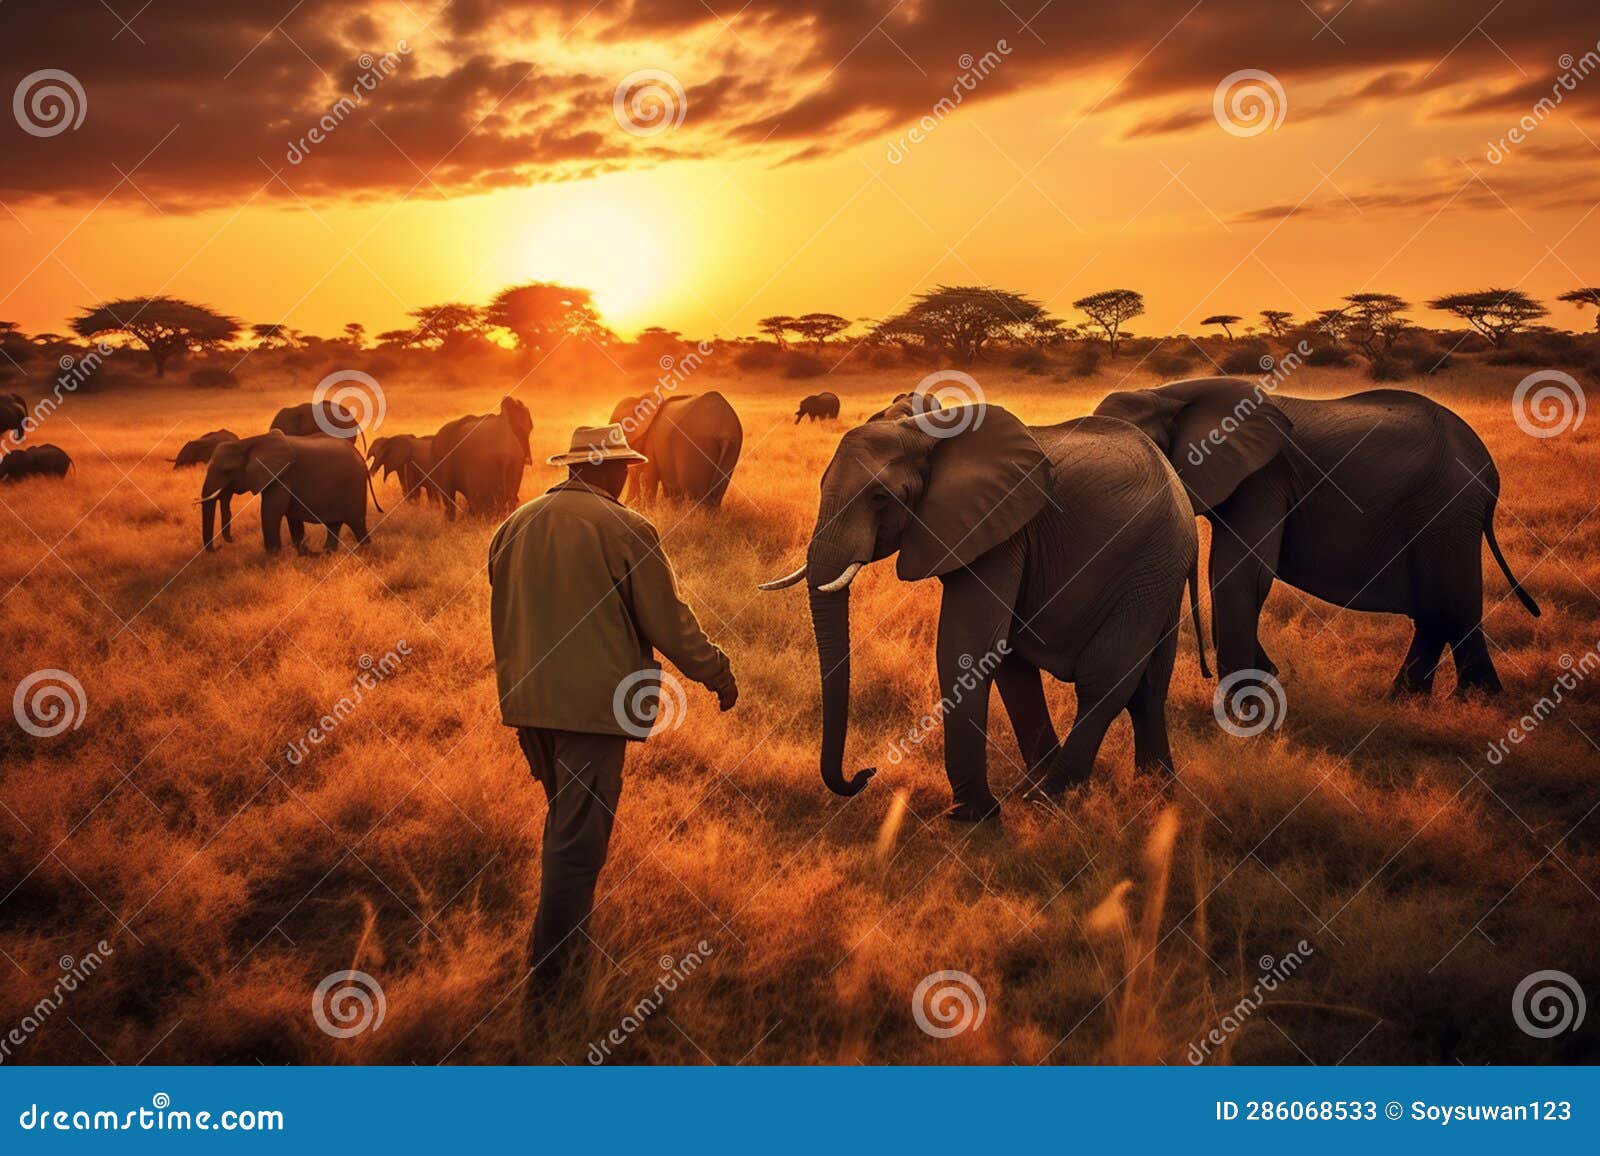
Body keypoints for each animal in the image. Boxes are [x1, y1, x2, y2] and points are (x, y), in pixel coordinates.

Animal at [199, 431, 368, 553]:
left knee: (357, 525)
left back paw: (365, 552)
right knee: (334, 525)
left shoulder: (282, 475)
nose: (221, 547)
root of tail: (360, 456)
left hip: (354, 486)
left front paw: (273, 557)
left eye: (227, 470)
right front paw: (301, 553)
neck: (248, 442)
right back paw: (327, 553)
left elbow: (271, 511)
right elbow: (290, 515)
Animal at [759, 397, 1205, 820]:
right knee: (1147, 684)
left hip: (1150, 564)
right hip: (1160, 573)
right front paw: (984, 808)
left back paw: (1048, 799)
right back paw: (1153, 792)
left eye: (879, 497)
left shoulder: (1000, 531)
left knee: (1106, 679)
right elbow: (1000, 651)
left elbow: (967, 647)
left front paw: (969, 815)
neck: (925, 431)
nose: (865, 773)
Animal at [1093, 378, 1540, 696]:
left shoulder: (1263, 478)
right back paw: (1405, 700)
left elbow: (1242, 574)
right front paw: (1267, 679)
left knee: (1454, 608)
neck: (1168, 393)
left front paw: (1244, 706)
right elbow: (1228, 570)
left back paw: (1475, 701)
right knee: (1435, 613)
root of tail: (1489, 472)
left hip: (1449, 511)